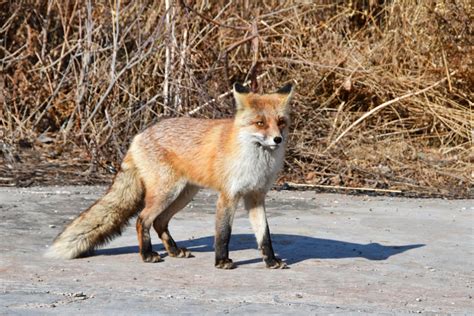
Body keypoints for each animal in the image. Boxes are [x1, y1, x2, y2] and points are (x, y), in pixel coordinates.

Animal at [46, 82, 294, 270]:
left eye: (281, 122)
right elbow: (223, 234)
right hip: (166, 193)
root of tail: (139, 136)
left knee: (159, 222)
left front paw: (271, 261)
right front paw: (222, 261)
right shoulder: (228, 196)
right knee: (143, 219)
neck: (256, 161)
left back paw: (173, 250)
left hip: (183, 195)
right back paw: (147, 255)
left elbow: (264, 235)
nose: (278, 139)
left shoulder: (256, 196)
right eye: (260, 123)